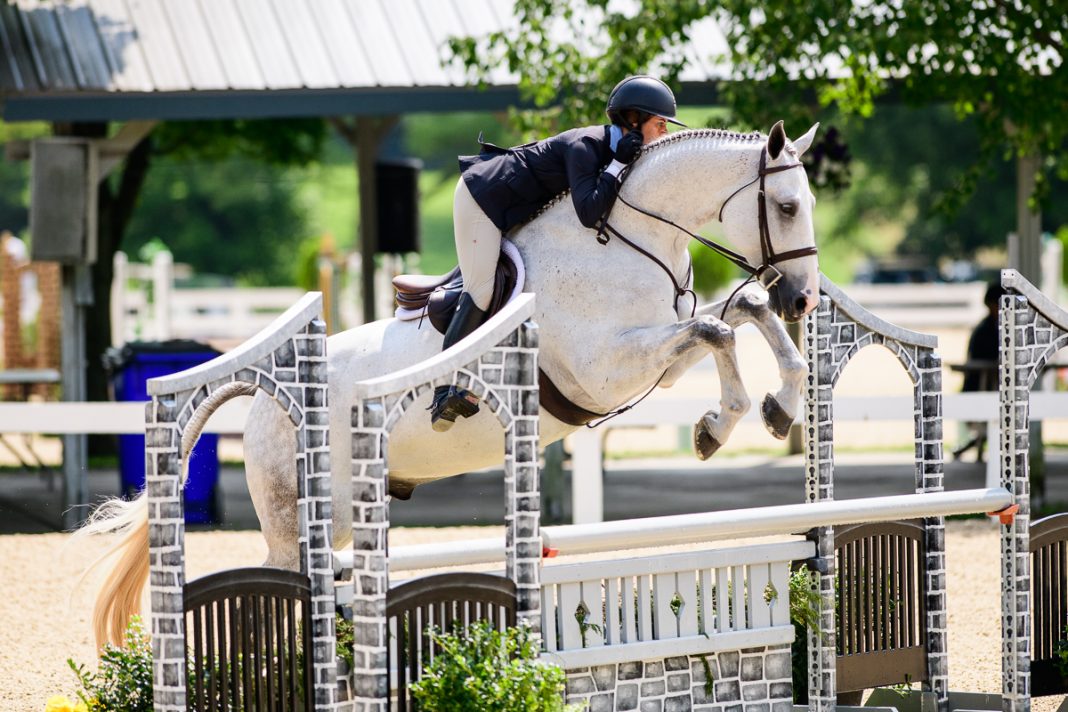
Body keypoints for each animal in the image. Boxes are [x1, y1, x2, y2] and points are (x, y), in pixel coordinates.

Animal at [86, 121, 821, 646]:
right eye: (787, 206)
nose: (804, 299)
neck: (625, 236)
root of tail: (268, 392)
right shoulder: (605, 370)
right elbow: (718, 329)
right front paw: (719, 425)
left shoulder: (655, 360)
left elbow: (740, 315)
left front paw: (779, 407)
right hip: (301, 516)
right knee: (282, 589)